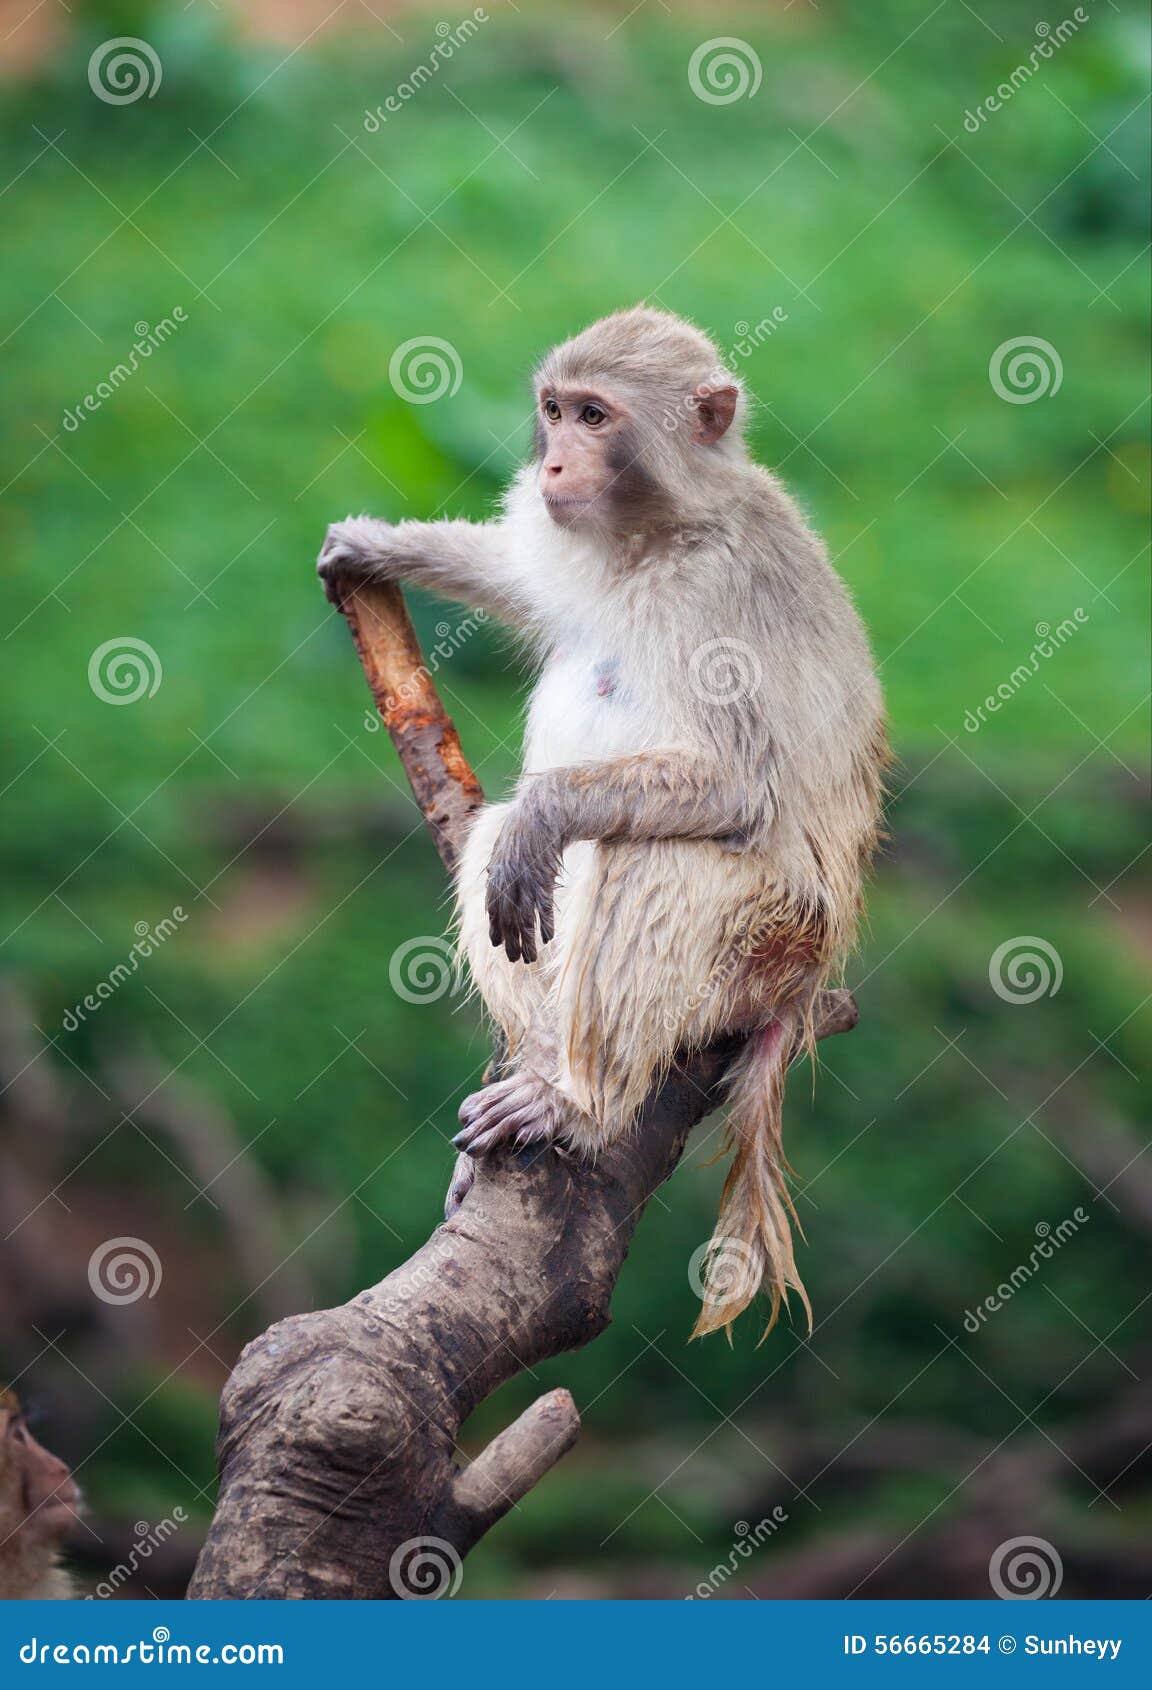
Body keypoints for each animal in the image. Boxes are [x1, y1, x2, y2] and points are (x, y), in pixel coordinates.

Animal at [318, 306, 887, 1335]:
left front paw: (547, 814)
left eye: (594, 415)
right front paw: (379, 545)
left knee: (644, 859)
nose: (551, 464)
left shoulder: (717, 595)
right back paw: (539, 1070)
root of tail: (805, 987)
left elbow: (737, 784)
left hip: (770, 945)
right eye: (554, 410)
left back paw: (581, 1105)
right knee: (500, 856)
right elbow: (524, 577)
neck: (654, 535)